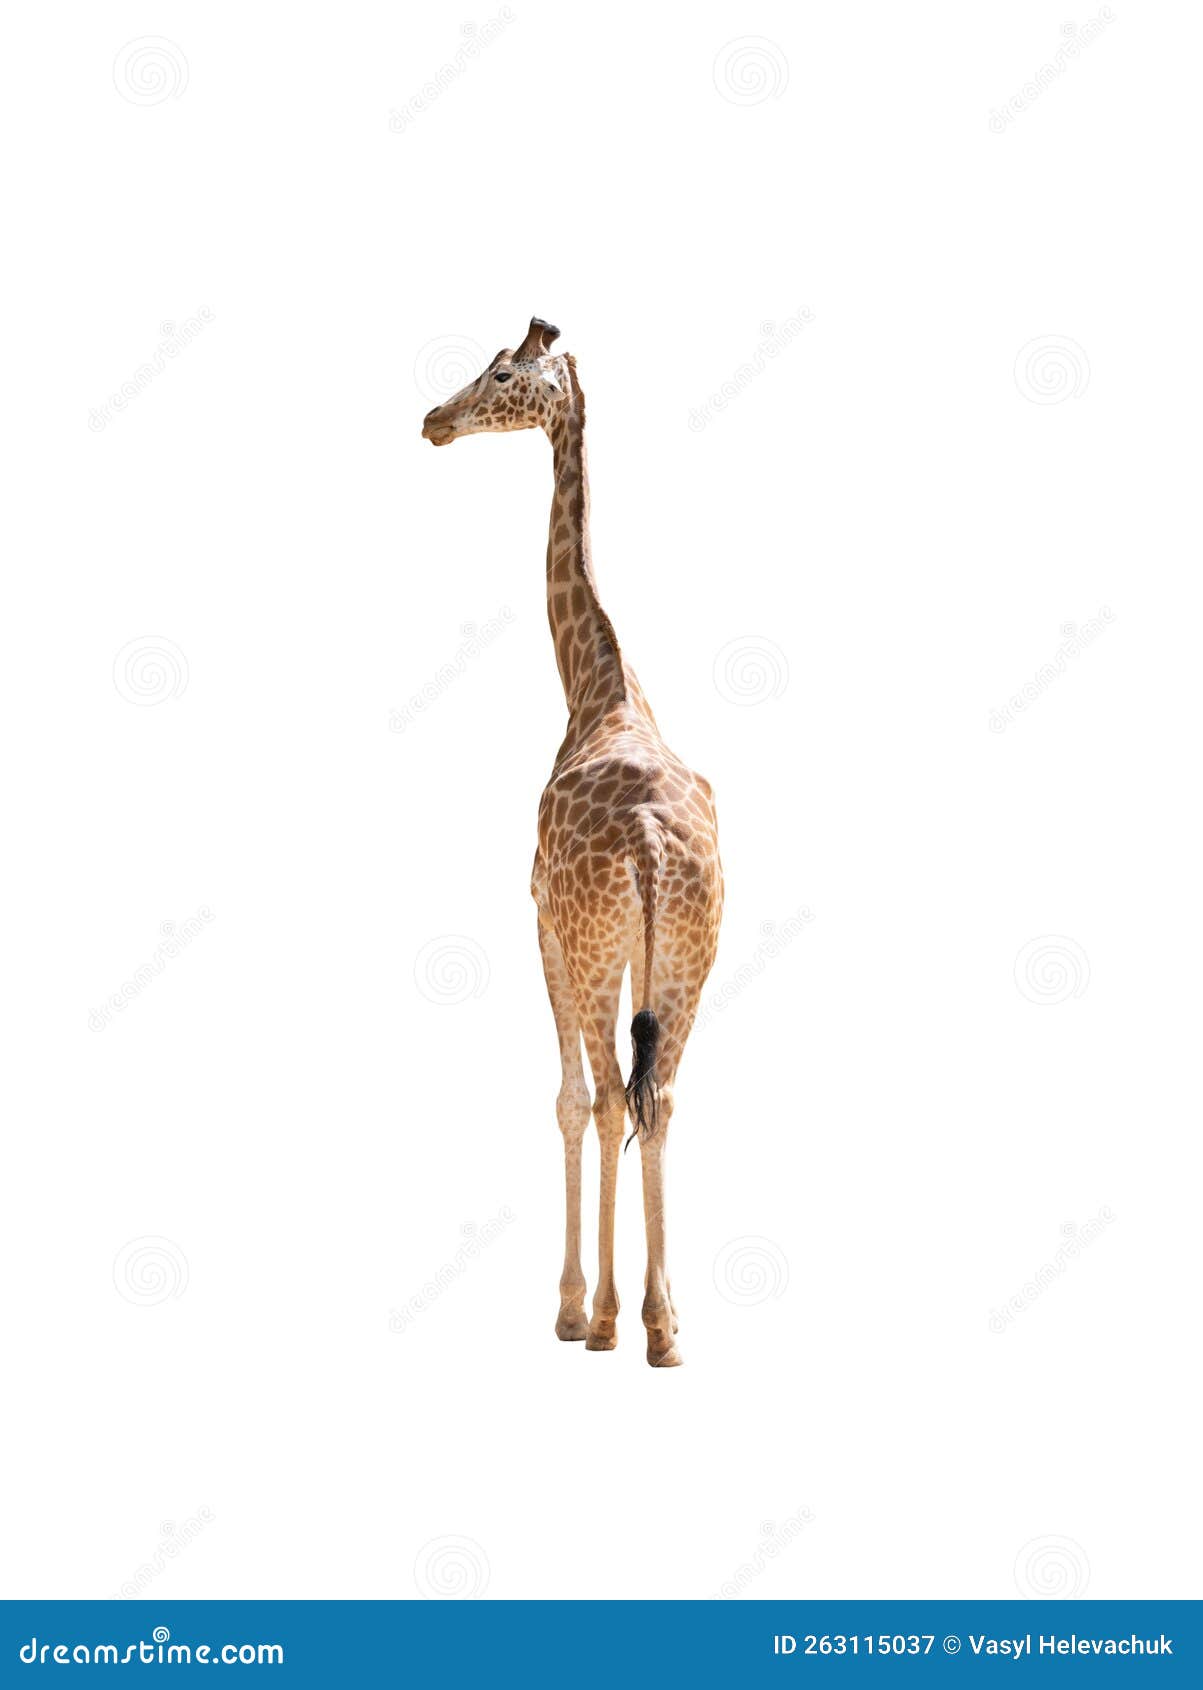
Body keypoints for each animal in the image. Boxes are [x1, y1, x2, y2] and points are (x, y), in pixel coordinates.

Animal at [421, 317, 723, 1366]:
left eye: (500, 373)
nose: (433, 419)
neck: (599, 687)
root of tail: (650, 845)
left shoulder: (544, 925)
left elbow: (566, 1098)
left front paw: (570, 1307)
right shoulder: (629, 954)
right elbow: (619, 1098)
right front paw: (622, 1310)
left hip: (598, 951)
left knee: (606, 1098)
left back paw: (606, 1321)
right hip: (690, 959)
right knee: (660, 1098)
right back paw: (665, 1327)